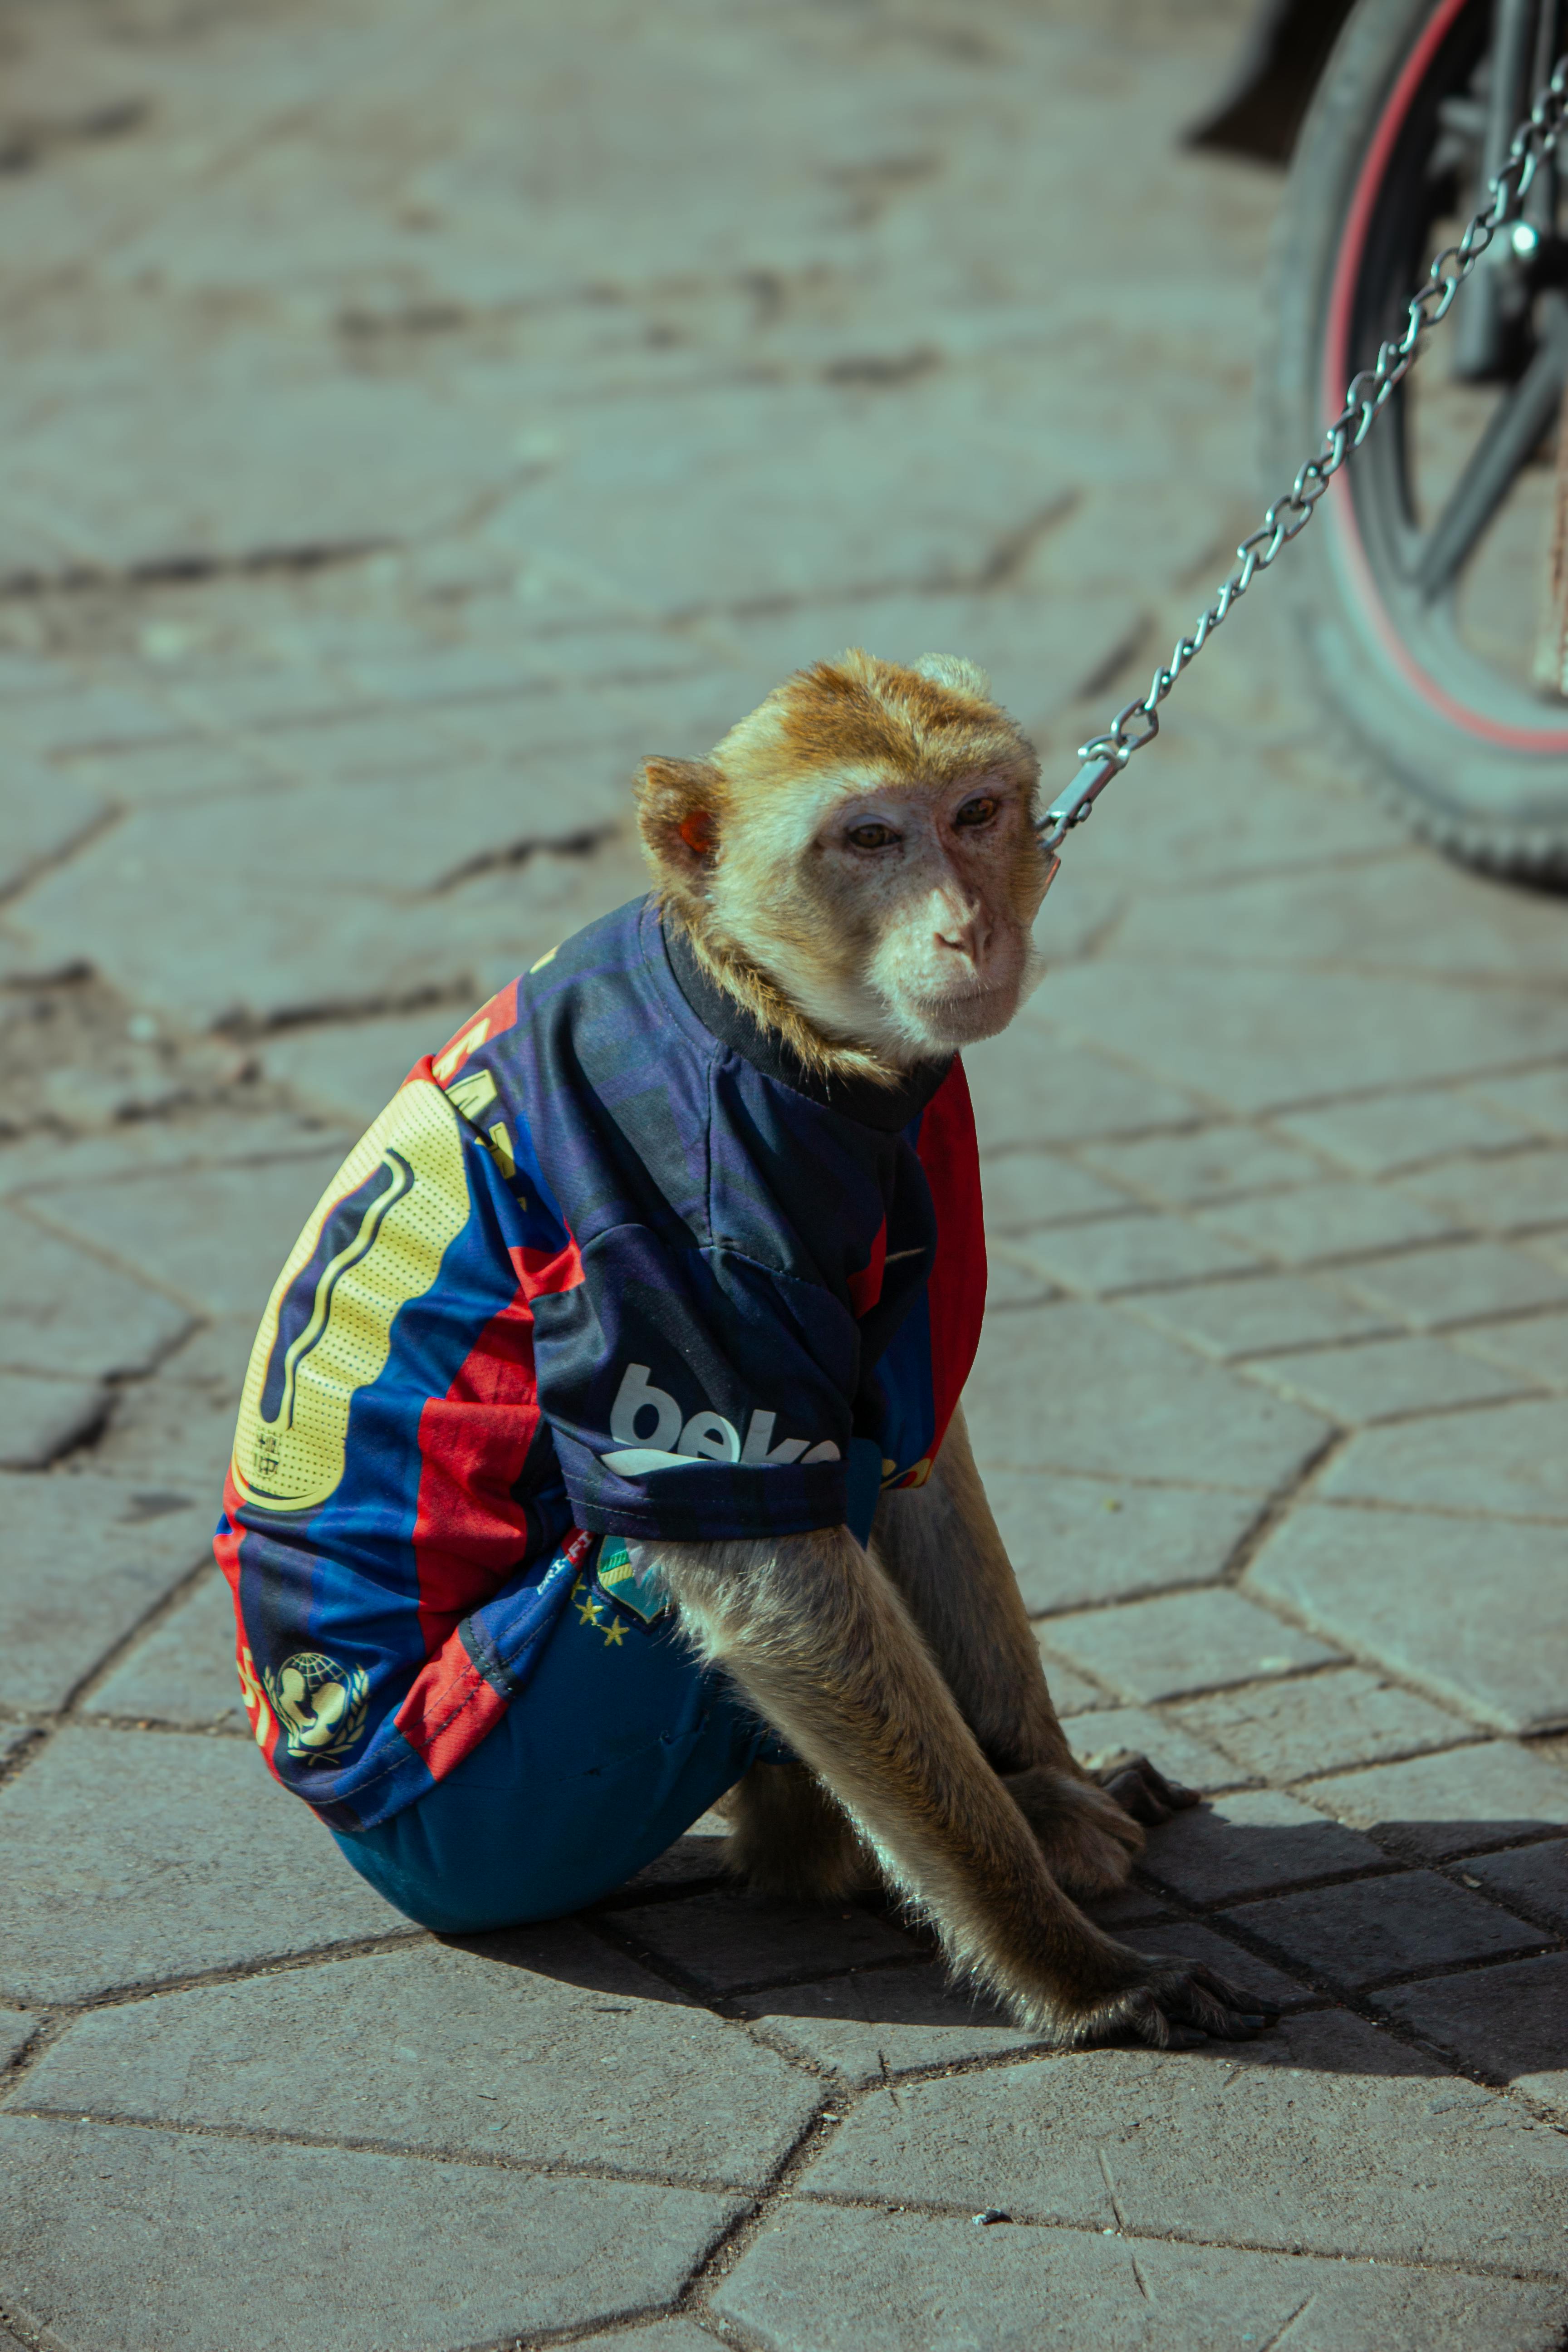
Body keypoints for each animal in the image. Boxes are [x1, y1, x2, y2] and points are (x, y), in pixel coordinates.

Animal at [218, 649, 1271, 2052]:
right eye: (868, 838)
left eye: (975, 813)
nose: (969, 927)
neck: (759, 1004)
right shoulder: (690, 1212)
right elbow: (769, 1564)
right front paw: (1074, 1966)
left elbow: (917, 1443)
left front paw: (1040, 1769)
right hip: (500, 1810)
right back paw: (822, 1860)